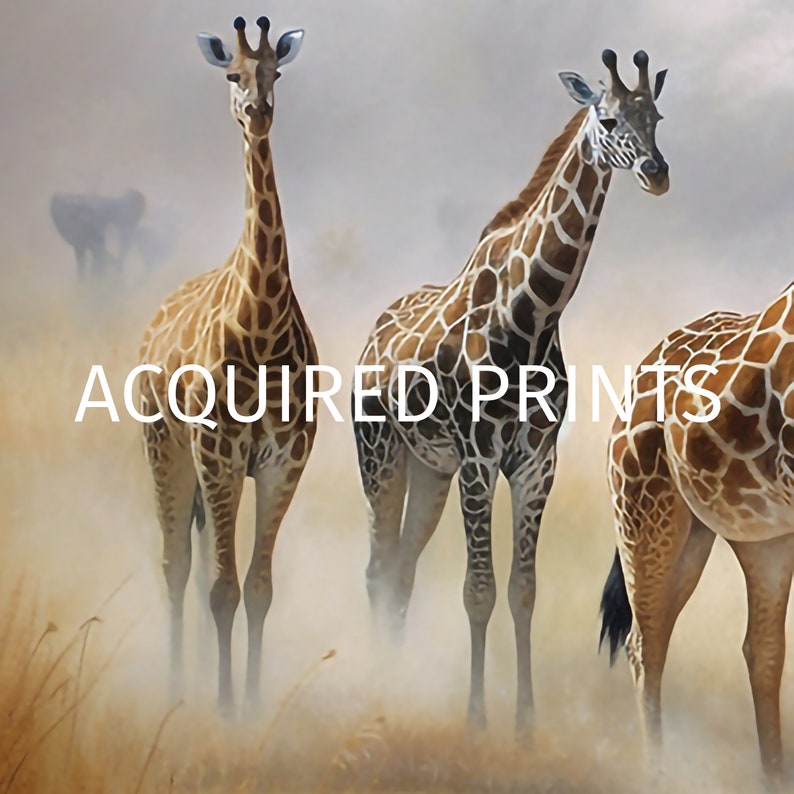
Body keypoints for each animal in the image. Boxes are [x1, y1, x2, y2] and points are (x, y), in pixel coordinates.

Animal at [137, 16, 314, 715]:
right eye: (231, 75)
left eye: (276, 73)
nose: (257, 113)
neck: (260, 320)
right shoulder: (217, 454)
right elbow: (221, 589)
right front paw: (223, 708)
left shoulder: (281, 462)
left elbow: (258, 590)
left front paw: (255, 703)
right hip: (166, 450)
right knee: (175, 566)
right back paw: (175, 686)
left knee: (196, 565)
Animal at [353, 49, 669, 732]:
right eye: (608, 120)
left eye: (656, 116)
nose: (657, 173)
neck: (535, 314)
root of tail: (372, 334)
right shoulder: (479, 457)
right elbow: (479, 590)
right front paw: (476, 718)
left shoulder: (534, 460)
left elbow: (524, 591)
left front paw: (525, 721)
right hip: (380, 455)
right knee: (376, 568)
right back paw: (379, 688)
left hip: (429, 469)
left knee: (402, 568)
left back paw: (392, 680)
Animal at [600, 280, 794, 779]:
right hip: (643, 511)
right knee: (645, 644)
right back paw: (658, 773)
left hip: (756, 536)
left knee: (761, 649)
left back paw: (771, 777)